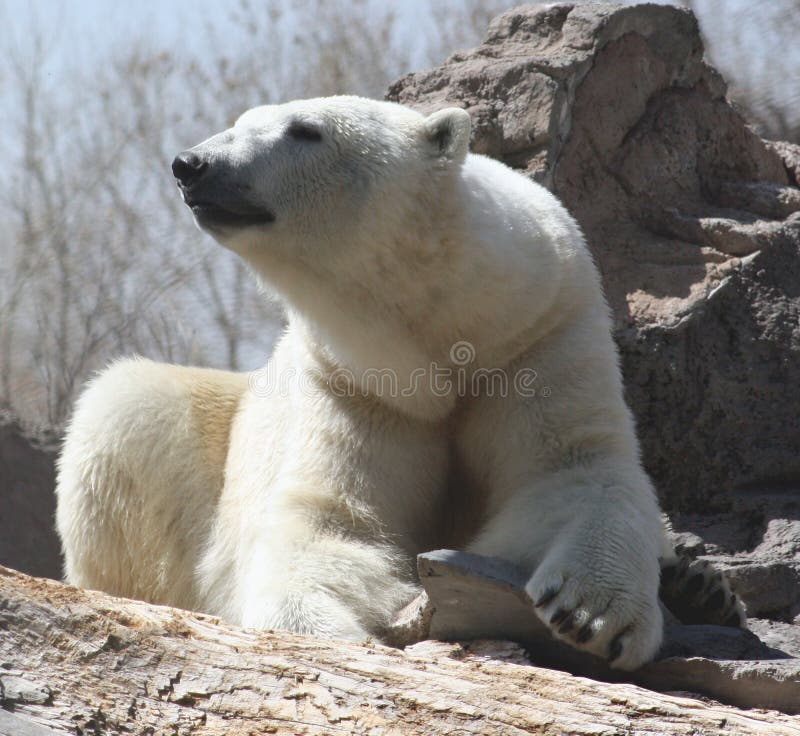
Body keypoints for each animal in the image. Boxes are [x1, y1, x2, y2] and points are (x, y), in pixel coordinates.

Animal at [56, 96, 743, 671]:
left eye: (304, 130)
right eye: (241, 120)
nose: (192, 164)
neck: (434, 326)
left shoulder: (539, 331)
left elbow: (573, 467)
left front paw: (590, 614)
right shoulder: (356, 383)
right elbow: (336, 523)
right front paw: (331, 632)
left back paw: (699, 585)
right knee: (125, 408)